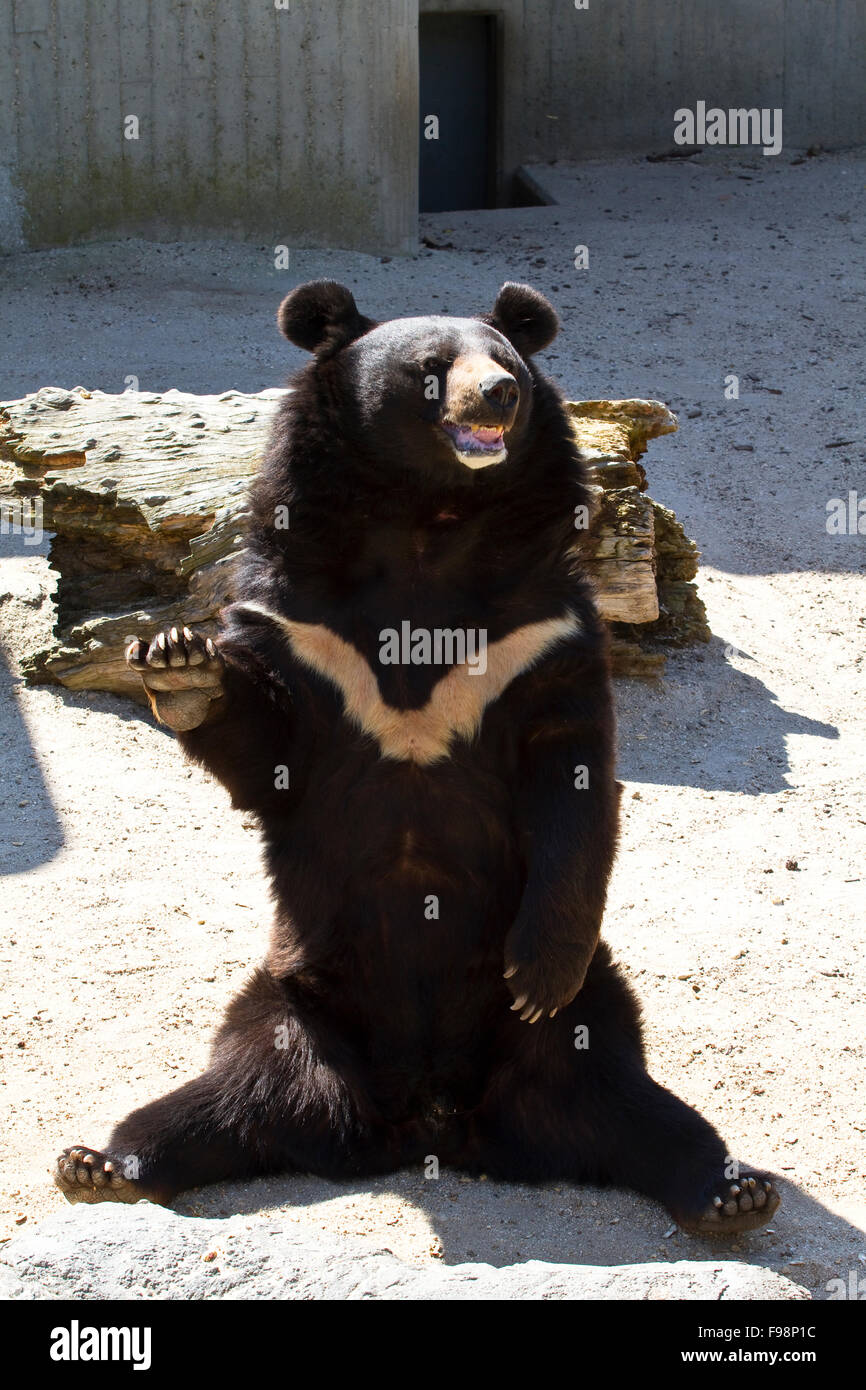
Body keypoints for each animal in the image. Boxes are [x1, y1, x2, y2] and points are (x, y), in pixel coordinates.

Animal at [55, 280, 780, 1236]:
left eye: (506, 366)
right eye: (432, 370)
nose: (498, 398)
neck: (428, 525)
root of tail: (428, 1118)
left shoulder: (542, 634)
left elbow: (576, 779)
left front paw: (536, 969)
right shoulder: (303, 627)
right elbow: (266, 750)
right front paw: (177, 661)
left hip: (587, 1015)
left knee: (627, 1102)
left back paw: (732, 1189)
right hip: (293, 1002)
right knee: (229, 1096)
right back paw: (102, 1163)